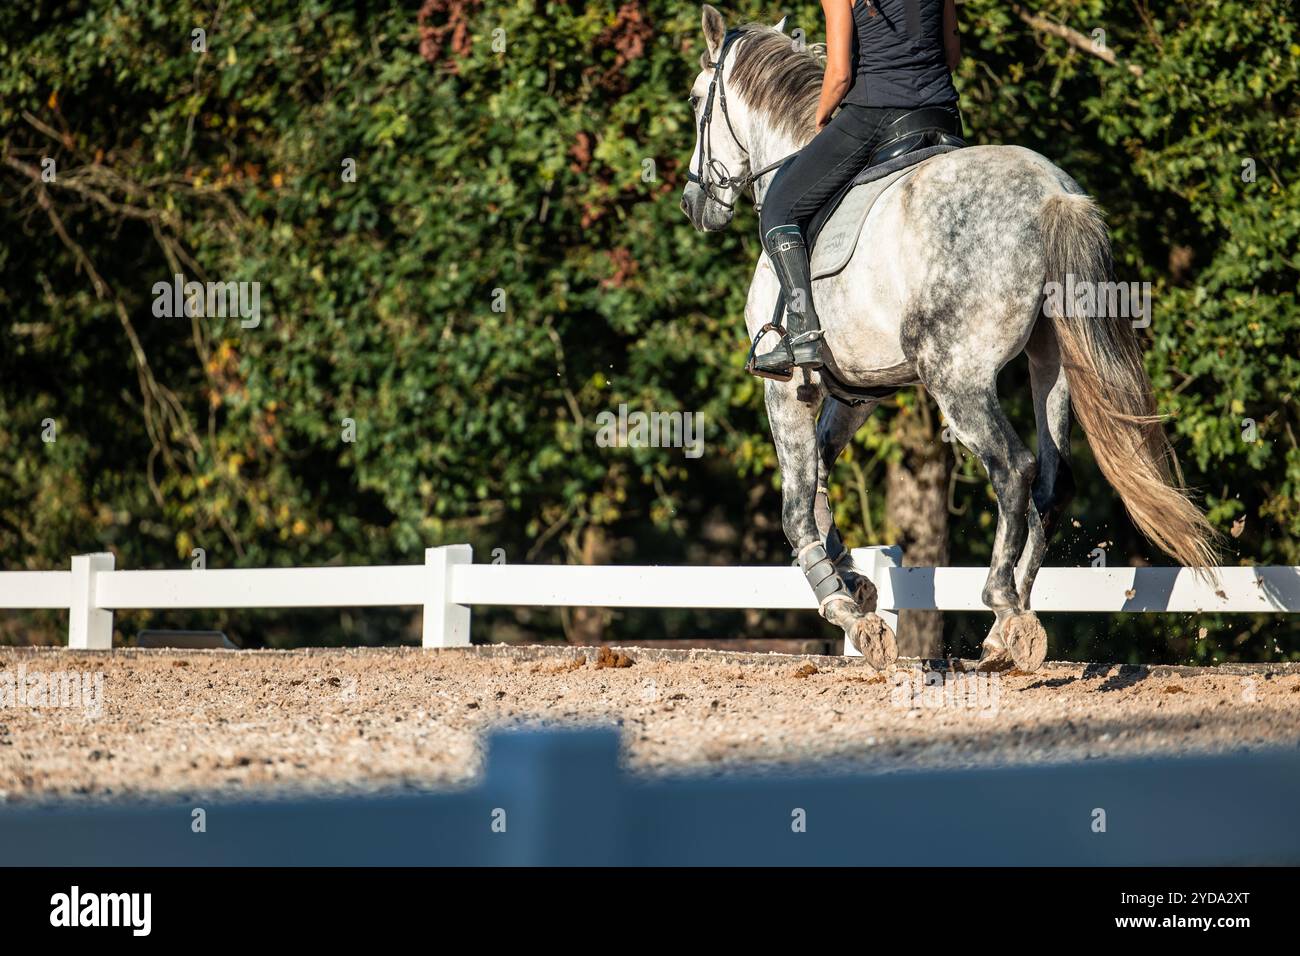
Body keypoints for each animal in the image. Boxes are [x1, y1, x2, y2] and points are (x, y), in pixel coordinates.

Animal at [679, 7, 1217, 671]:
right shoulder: (857, 393)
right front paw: (853, 578)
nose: (694, 204)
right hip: (1053, 368)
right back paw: (1010, 622)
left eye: (696, 98)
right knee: (1050, 481)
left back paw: (1004, 608)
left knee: (1013, 468)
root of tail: (1051, 193)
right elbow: (822, 476)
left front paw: (847, 610)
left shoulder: (788, 387)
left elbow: (795, 503)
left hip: (956, 379)